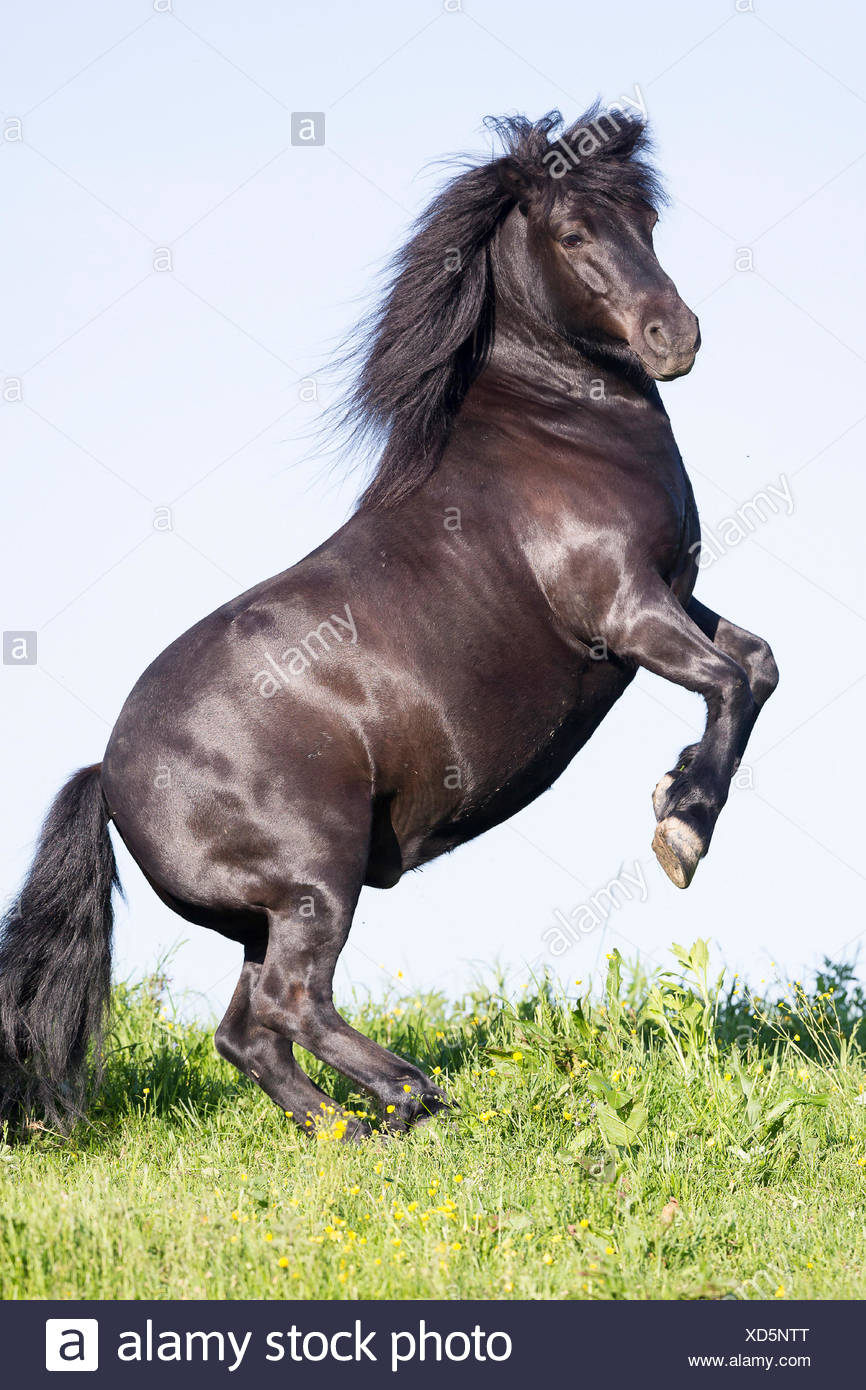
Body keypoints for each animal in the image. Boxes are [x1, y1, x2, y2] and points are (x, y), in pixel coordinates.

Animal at [0, 108, 778, 1140]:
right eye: (574, 234)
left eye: (648, 223)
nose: (674, 337)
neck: (554, 433)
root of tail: (111, 773)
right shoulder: (623, 611)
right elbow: (729, 679)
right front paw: (681, 833)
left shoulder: (671, 596)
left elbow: (757, 662)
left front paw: (673, 788)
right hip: (313, 884)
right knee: (292, 1006)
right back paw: (414, 1092)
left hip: (270, 914)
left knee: (251, 1034)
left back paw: (363, 1126)